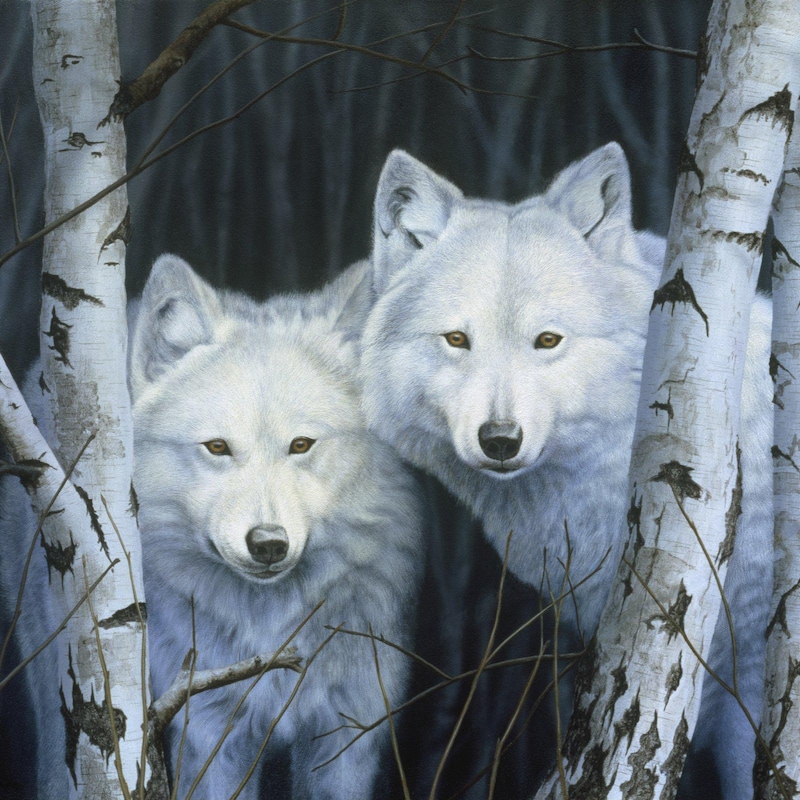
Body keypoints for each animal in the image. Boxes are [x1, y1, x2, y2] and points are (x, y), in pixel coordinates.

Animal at [1, 254, 423, 800]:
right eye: (217, 447)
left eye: (301, 445)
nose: (268, 544)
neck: (269, 627)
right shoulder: (208, 731)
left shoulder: (350, 737)